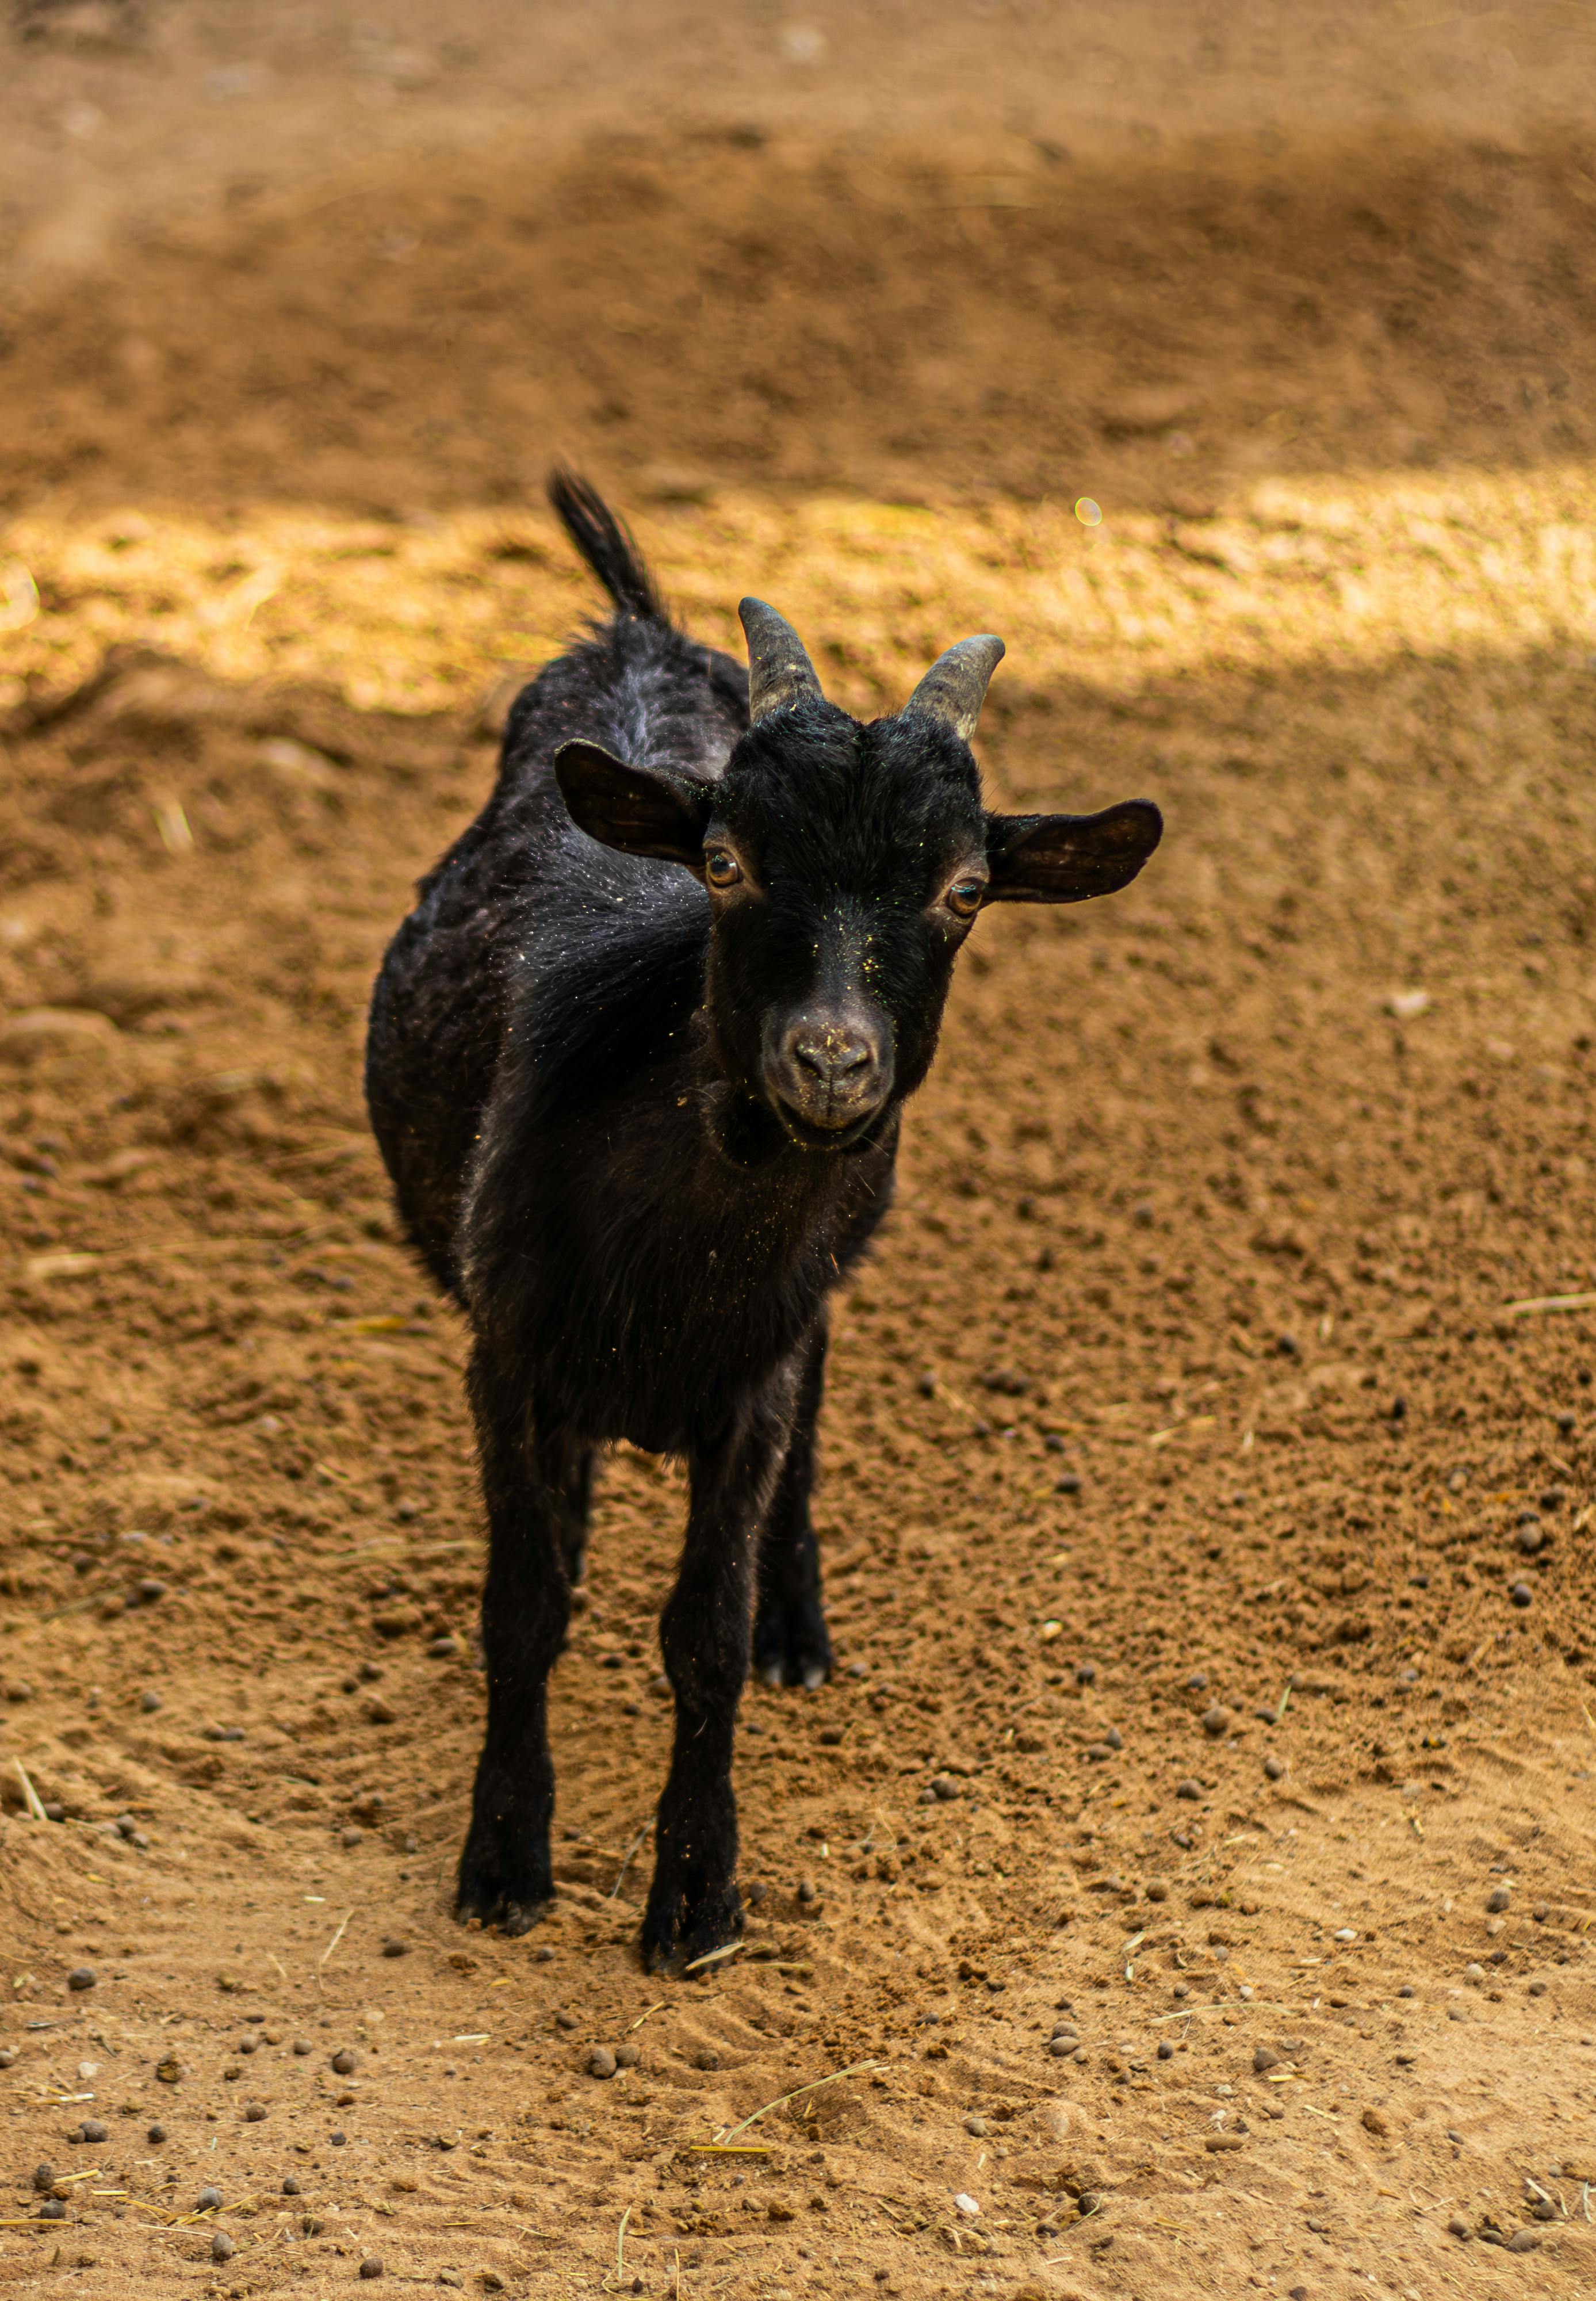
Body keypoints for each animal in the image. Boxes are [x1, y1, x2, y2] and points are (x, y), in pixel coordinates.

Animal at [365, 473, 1162, 1971]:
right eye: (725, 863)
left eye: (964, 891)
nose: (832, 1062)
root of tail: (636, 633)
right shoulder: (508, 1350)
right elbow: (524, 1607)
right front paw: (503, 1861)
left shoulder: (756, 1367)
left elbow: (706, 1633)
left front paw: (696, 1897)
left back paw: (801, 1616)